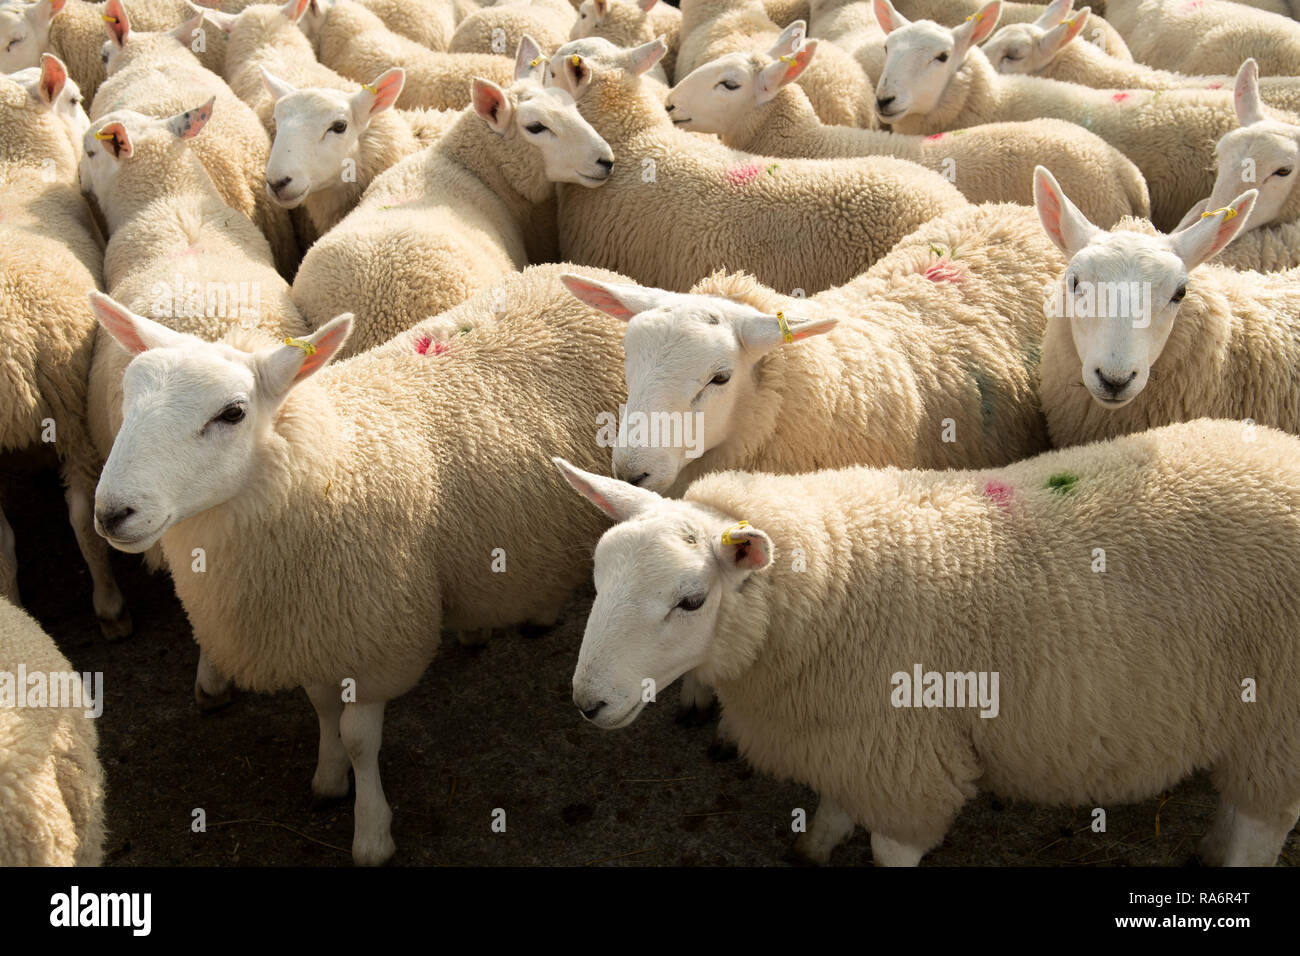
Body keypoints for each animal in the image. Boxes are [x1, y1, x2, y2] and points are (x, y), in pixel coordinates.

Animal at [86, 260, 639, 865]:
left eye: (231, 413)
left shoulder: (373, 640)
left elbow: (358, 737)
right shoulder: (313, 630)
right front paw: (328, 779)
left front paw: (371, 830)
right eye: (126, 396)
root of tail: (580, 270)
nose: (111, 513)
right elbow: (323, 709)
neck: (329, 463)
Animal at [555, 415, 1300, 867]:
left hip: (1278, 717)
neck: (836, 585)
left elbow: (892, 846)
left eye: (691, 600)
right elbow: (832, 806)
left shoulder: (904, 761)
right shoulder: (852, 741)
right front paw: (813, 848)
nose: (587, 703)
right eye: (598, 575)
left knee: (1265, 821)